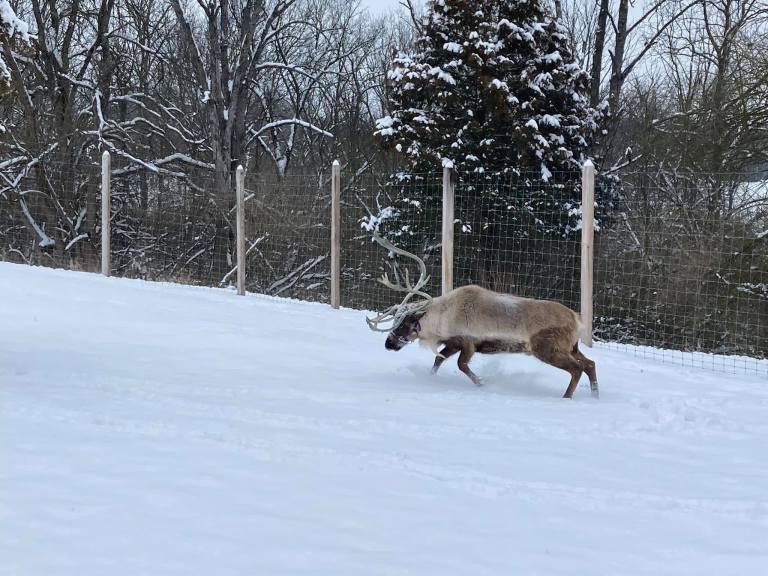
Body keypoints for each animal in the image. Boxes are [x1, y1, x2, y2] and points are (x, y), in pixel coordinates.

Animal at [366, 234, 599, 399]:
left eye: (405, 323)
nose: (388, 343)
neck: (441, 320)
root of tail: (576, 320)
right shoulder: (454, 342)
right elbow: (438, 360)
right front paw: (429, 379)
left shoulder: (468, 342)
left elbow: (461, 365)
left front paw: (482, 383)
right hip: (571, 347)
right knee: (590, 364)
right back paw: (595, 395)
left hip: (547, 348)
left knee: (577, 368)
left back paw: (566, 398)